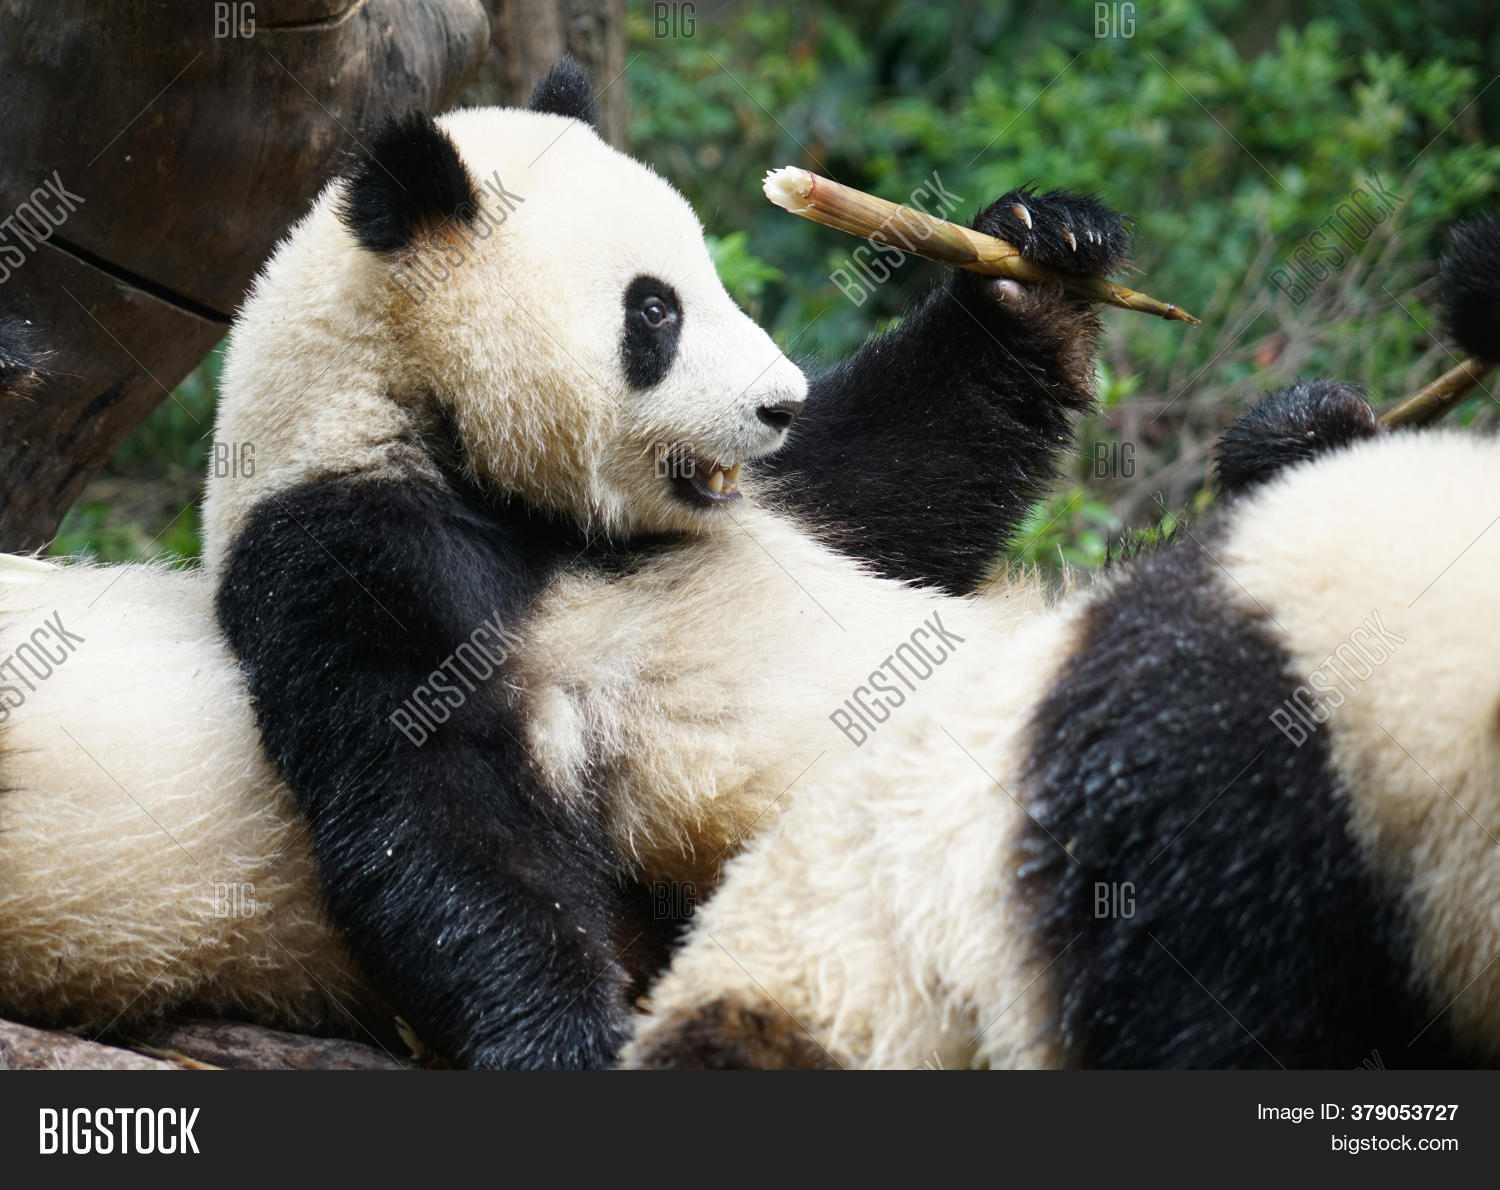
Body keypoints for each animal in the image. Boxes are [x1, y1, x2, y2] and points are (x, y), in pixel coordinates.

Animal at [0, 59, 1130, 1068]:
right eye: (655, 310)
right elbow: (439, 804)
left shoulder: (775, 501)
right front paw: (562, 1036)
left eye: (709, 278)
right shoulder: (352, 548)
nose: (780, 402)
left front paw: (1044, 248)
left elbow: (904, 475)